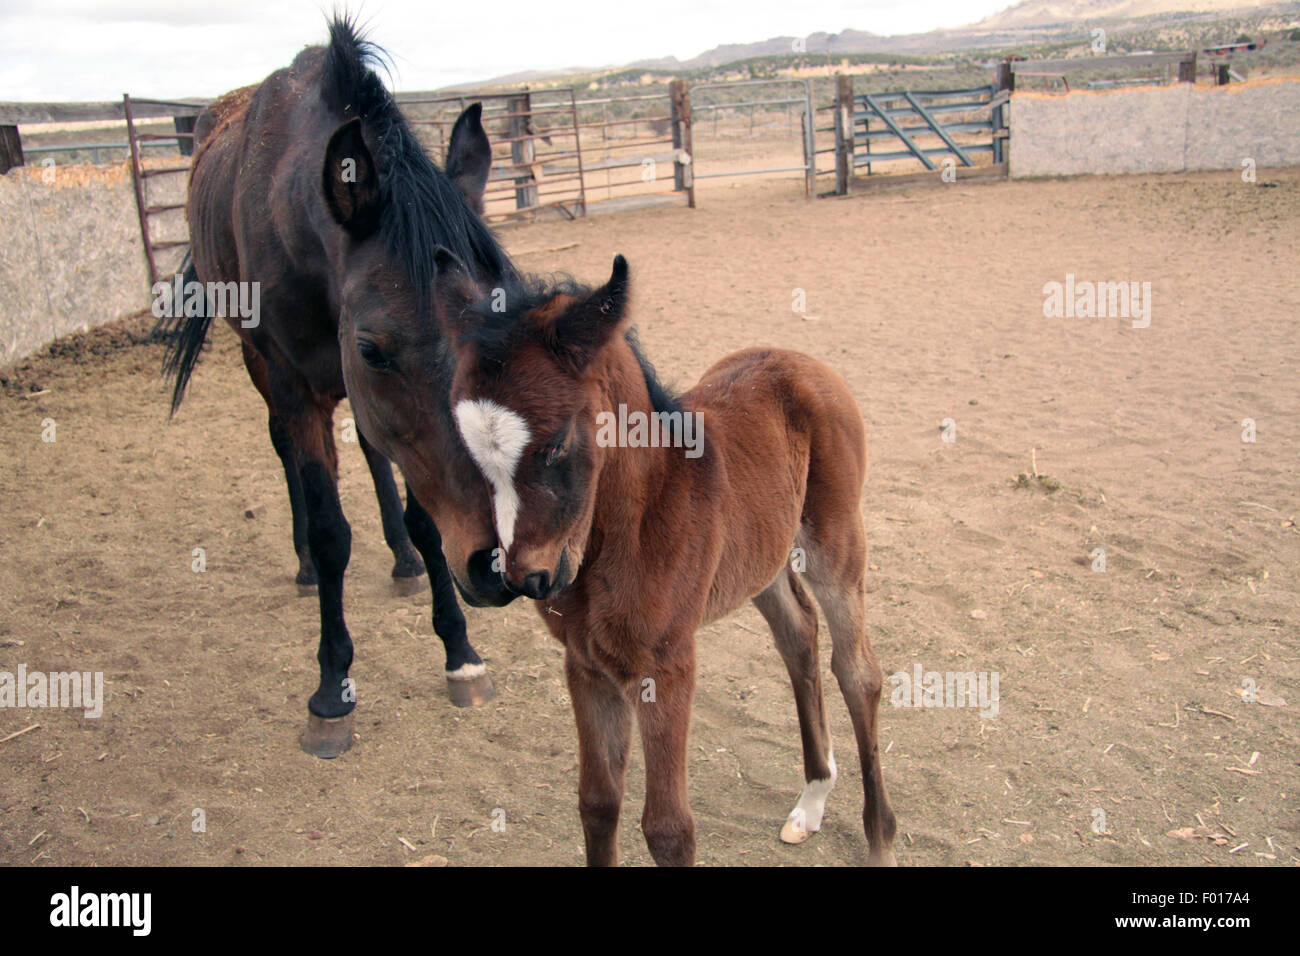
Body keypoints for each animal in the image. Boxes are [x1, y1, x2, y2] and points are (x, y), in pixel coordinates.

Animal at [158, 14, 518, 758]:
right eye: (375, 349)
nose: (496, 566)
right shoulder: (296, 384)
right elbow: (330, 531)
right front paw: (332, 692)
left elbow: (423, 514)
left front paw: (460, 653)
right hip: (262, 368)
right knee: (287, 456)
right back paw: (301, 565)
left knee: (375, 459)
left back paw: (404, 559)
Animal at [430, 250, 898, 866]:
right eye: (467, 450)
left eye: (556, 444)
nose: (528, 578)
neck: (630, 524)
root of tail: (797, 360)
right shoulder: (586, 666)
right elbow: (597, 803)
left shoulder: (667, 667)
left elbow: (669, 828)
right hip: (759, 558)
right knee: (798, 636)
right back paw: (812, 801)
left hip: (835, 544)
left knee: (858, 671)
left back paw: (879, 836)